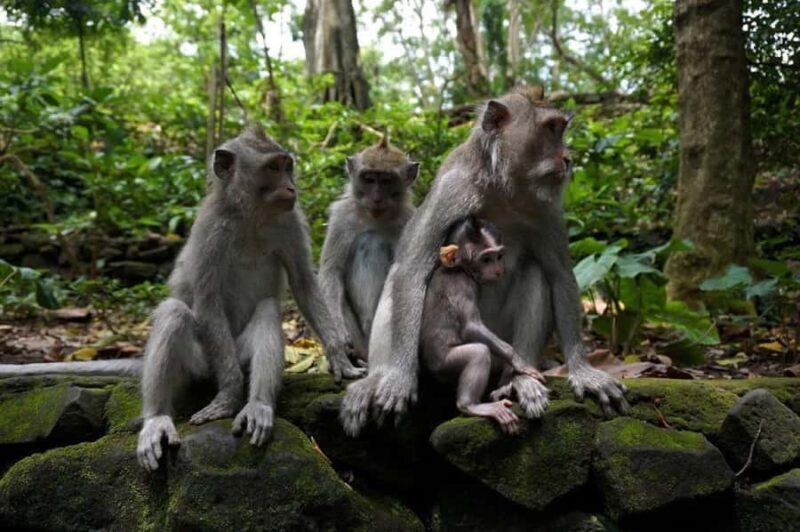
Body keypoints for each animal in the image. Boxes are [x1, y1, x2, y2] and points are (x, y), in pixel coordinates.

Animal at [0, 126, 366, 470]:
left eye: (288, 166)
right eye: (273, 168)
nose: (291, 188)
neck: (250, 216)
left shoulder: (290, 220)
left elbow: (304, 282)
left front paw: (338, 355)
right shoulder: (210, 228)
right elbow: (206, 299)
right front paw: (228, 394)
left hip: (238, 352)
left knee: (265, 311)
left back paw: (258, 405)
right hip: (202, 363)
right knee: (174, 313)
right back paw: (157, 419)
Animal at [319, 135, 419, 360]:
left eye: (386, 180)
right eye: (369, 178)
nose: (376, 197)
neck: (375, 217)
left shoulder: (409, 219)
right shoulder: (342, 216)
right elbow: (331, 272)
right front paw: (337, 336)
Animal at [420, 216, 545, 434]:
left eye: (499, 256)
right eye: (486, 259)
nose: (498, 269)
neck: (459, 269)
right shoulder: (463, 286)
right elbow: (471, 327)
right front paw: (518, 361)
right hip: (443, 362)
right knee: (478, 352)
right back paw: (470, 405)